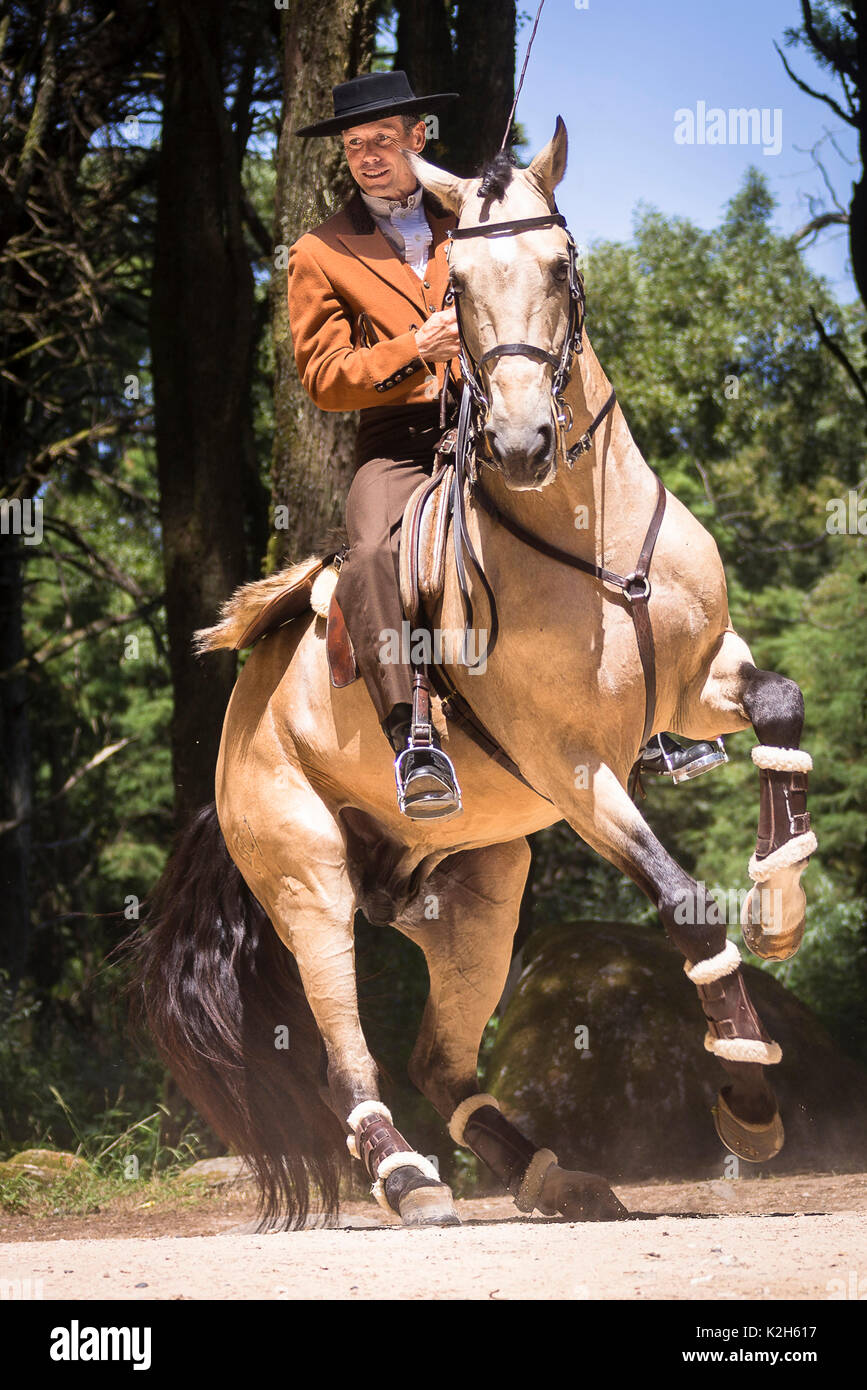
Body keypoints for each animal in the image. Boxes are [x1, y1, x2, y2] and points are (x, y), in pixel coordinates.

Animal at [133, 118, 817, 1229]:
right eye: (458, 285)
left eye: (561, 264)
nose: (523, 441)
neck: (584, 528)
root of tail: (239, 719)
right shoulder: (574, 769)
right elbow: (681, 901)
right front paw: (747, 1095)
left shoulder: (697, 678)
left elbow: (781, 706)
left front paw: (784, 897)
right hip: (308, 880)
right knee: (348, 1055)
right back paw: (408, 1178)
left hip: (480, 891)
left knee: (442, 1062)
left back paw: (549, 1173)